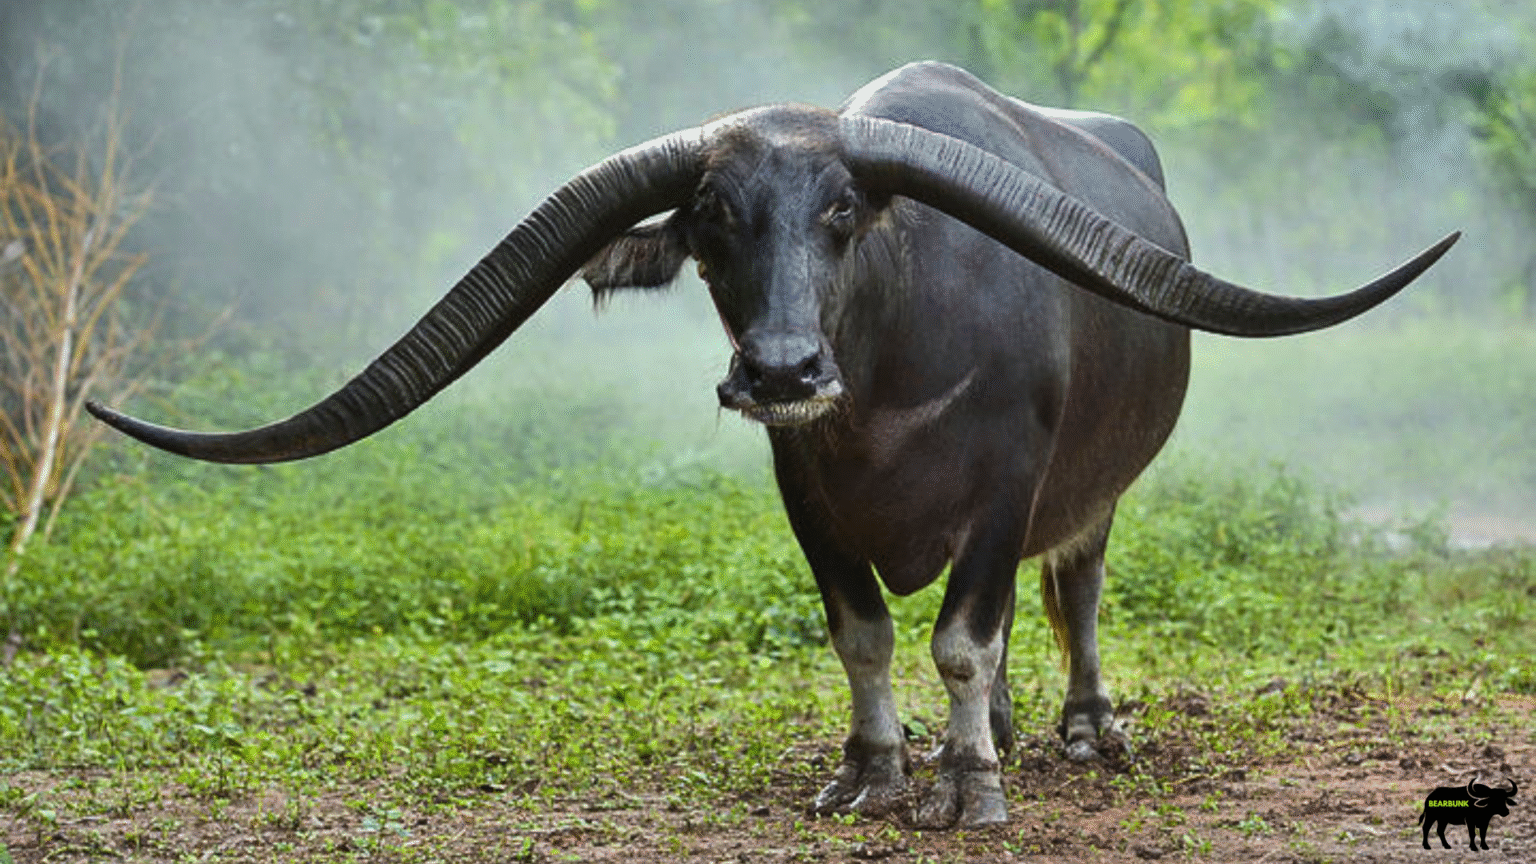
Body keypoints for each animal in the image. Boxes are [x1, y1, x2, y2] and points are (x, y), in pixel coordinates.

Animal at [89, 62, 1457, 827]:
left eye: (845, 210)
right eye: (708, 219)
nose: (786, 370)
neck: (891, 378)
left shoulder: (1008, 485)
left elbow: (963, 637)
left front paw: (970, 786)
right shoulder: (805, 497)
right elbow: (867, 637)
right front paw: (877, 771)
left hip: (1096, 493)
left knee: (1072, 588)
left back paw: (1078, 728)